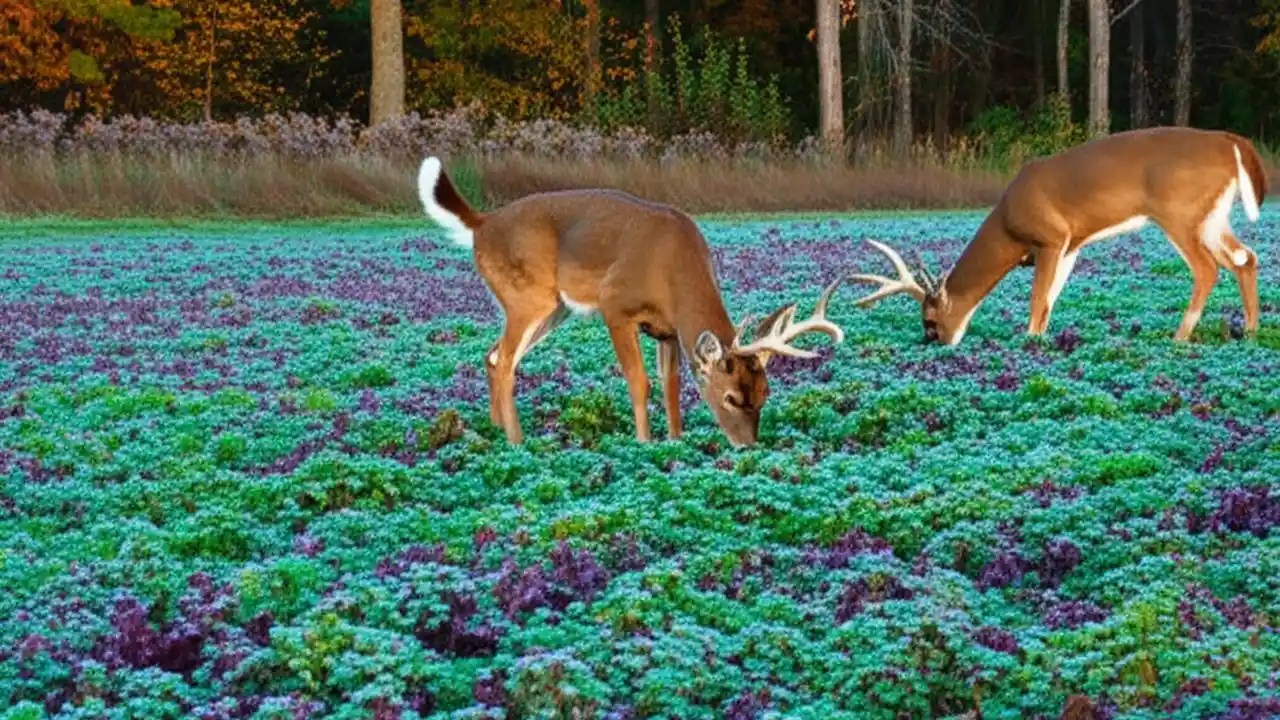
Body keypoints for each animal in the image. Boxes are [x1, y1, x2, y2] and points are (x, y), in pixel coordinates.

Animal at [415, 156, 846, 447]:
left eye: (764, 394)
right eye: (730, 397)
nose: (748, 447)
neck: (674, 270)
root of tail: (481, 224)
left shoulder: (669, 331)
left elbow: (671, 384)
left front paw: (675, 439)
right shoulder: (616, 307)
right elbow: (639, 382)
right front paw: (644, 442)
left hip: (554, 308)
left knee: (492, 355)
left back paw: (495, 431)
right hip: (528, 297)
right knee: (504, 360)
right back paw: (517, 442)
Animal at [848, 126, 1268, 345]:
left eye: (930, 321)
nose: (937, 344)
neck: (1008, 223)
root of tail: (1234, 143)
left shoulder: (1050, 236)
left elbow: (1037, 300)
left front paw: (1029, 340)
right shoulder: (1070, 246)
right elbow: (1050, 300)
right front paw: (1042, 339)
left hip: (1179, 212)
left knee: (1207, 268)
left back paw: (1180, 335)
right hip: (1213, 217)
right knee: (1246, 258)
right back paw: (1250, 330)